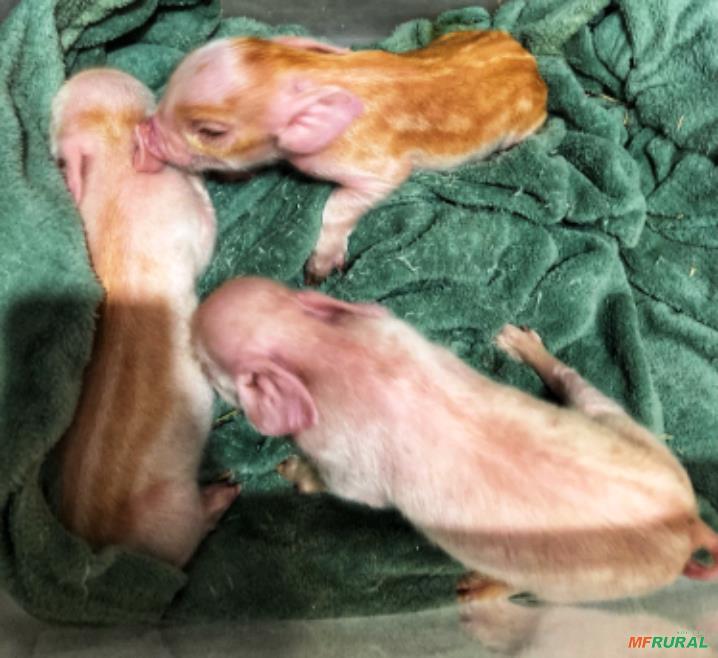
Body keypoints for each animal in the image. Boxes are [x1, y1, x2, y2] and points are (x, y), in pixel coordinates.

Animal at [50, 68, 240, 568]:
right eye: (148, 111)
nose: (95, 69)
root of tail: (99, 540)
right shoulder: (183, 219)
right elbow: (205, 229)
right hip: (173, 520)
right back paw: (226, 493)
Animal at [134, 30, 548, 282]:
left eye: (211, 132)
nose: (142, 131)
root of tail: (529, 60)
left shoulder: (380, 166)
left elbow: (339, 203)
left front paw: (317, 273)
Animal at [191, 276, 718, 602]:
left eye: (202, 360)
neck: (319, 347)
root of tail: (690, 524)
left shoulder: (349, 462)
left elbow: (344, 488)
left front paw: (290, 470)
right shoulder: (390, 328)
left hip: (581, 585)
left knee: (528, 590)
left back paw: (473, 590)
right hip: (618, 422)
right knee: (576, 382)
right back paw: (515, 340)